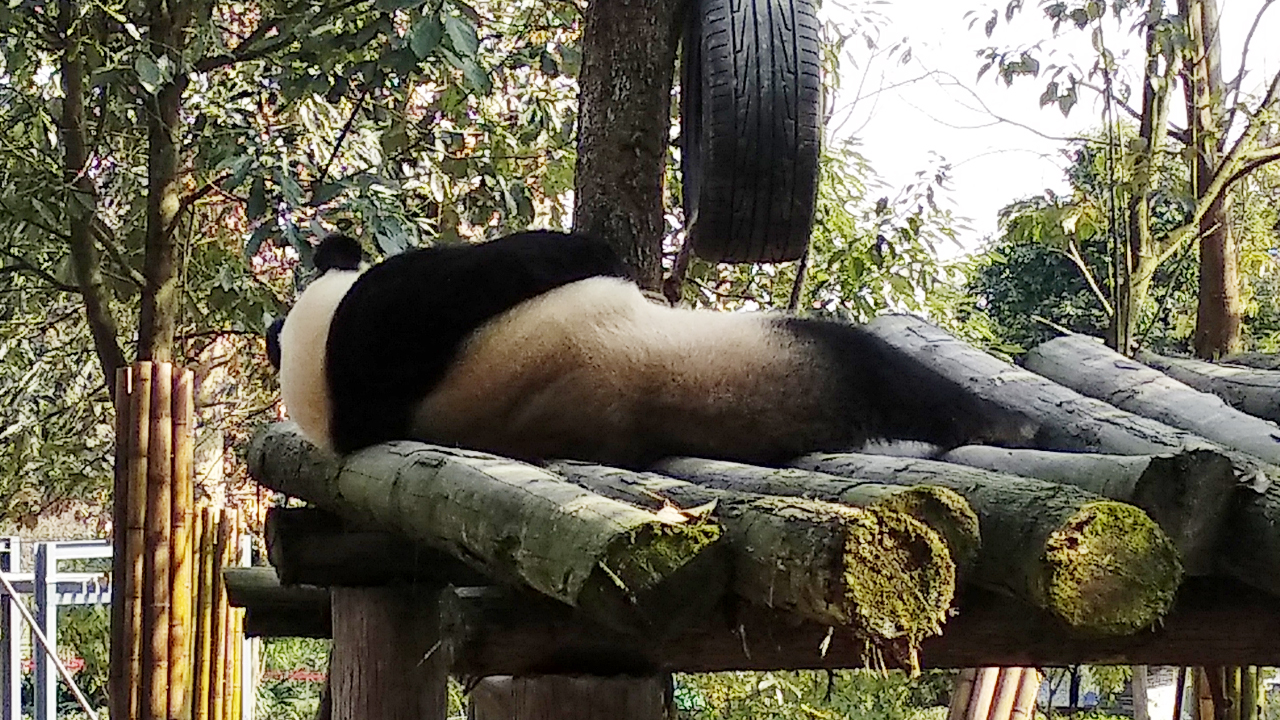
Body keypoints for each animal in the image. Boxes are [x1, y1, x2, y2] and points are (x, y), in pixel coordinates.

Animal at [268, 230, 1035, 467]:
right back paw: (1002, 423)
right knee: (880, 371)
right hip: (759, 358)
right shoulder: (384, 320)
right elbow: (518, 264)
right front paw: (590, 246)